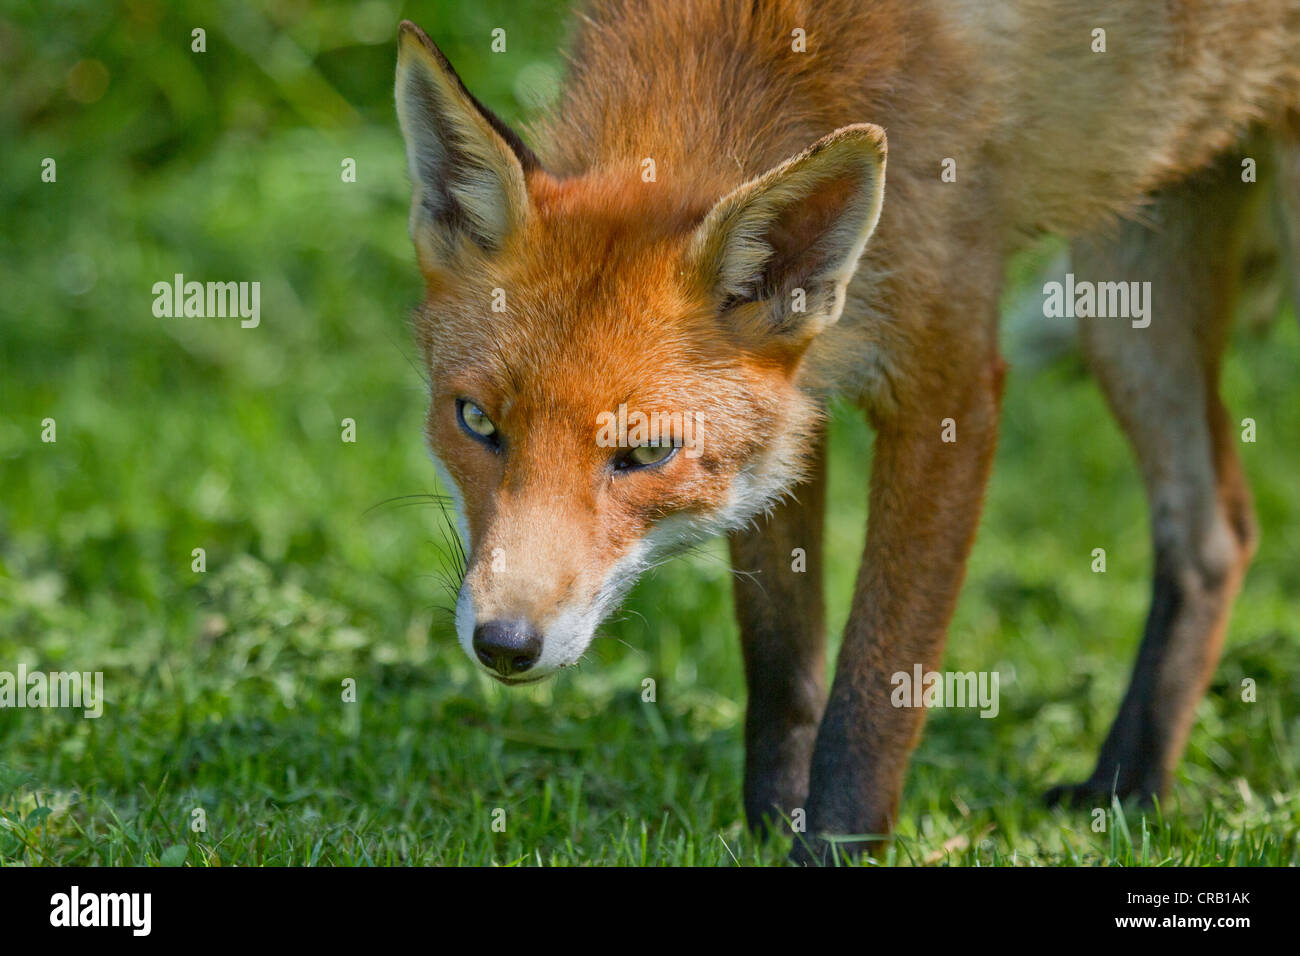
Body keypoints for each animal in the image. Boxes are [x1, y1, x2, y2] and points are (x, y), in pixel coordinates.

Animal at [393, 1, 1300, 862]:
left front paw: (831, 846)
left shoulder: (950, 382)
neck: (790, 54)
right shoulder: (795, 410)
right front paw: (770, 827)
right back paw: (1127, 787)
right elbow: (783, 659)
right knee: (1215, 532)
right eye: (477, 421)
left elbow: (878, 678)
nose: (505, 645)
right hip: (1122, 290)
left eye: (647, 452)